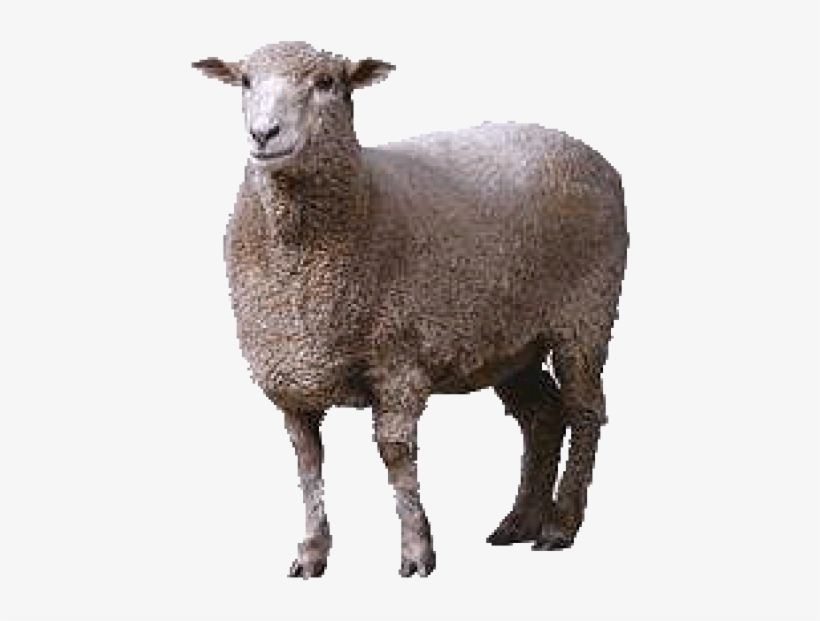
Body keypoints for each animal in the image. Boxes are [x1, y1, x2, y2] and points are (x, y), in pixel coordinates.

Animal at [193, 41, 628, 578]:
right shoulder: (291, 378)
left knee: (585, 412)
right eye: (246, 81)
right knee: (542, 418)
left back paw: (560, 525)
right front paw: (312, 552)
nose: (264, 133)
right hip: (510, 341)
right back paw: (519, 522)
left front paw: (417, 550)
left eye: (326, 83)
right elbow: (307, 463)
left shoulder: (396, 361)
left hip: (585, 316)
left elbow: (395, 454)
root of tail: (592, 154)